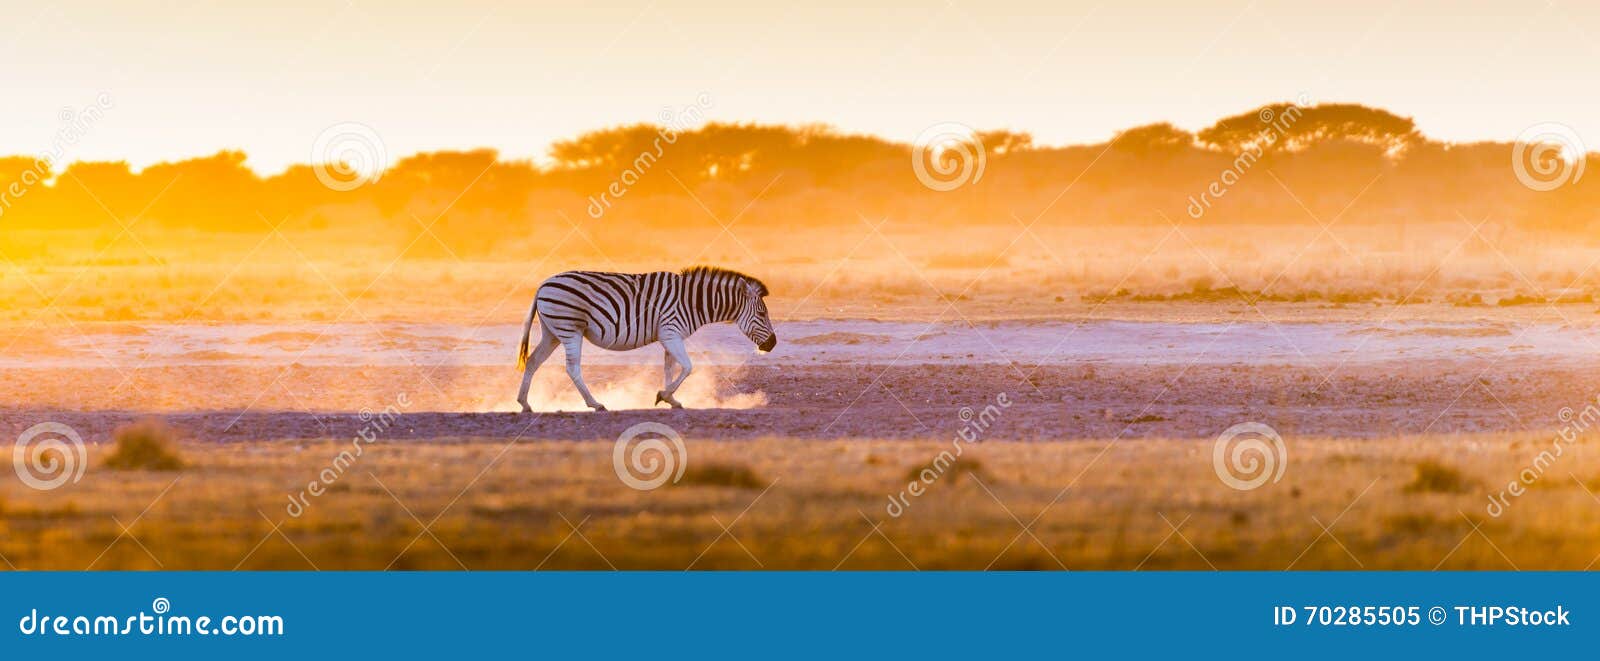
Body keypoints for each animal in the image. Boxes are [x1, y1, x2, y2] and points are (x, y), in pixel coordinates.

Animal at [515, 266, 777, 412]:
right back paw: (596, 404)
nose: (773, 344)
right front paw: (664, 395)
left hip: (552, 332)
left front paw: (671, 399)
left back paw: (524, 403)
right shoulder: (670, 333)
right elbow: (688, 367)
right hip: (570, 328)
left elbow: (671, 368)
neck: (693, 302)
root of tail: (542, 285)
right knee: (572, 368)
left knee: (533, 361)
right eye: (762, 314)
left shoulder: (670, 336)